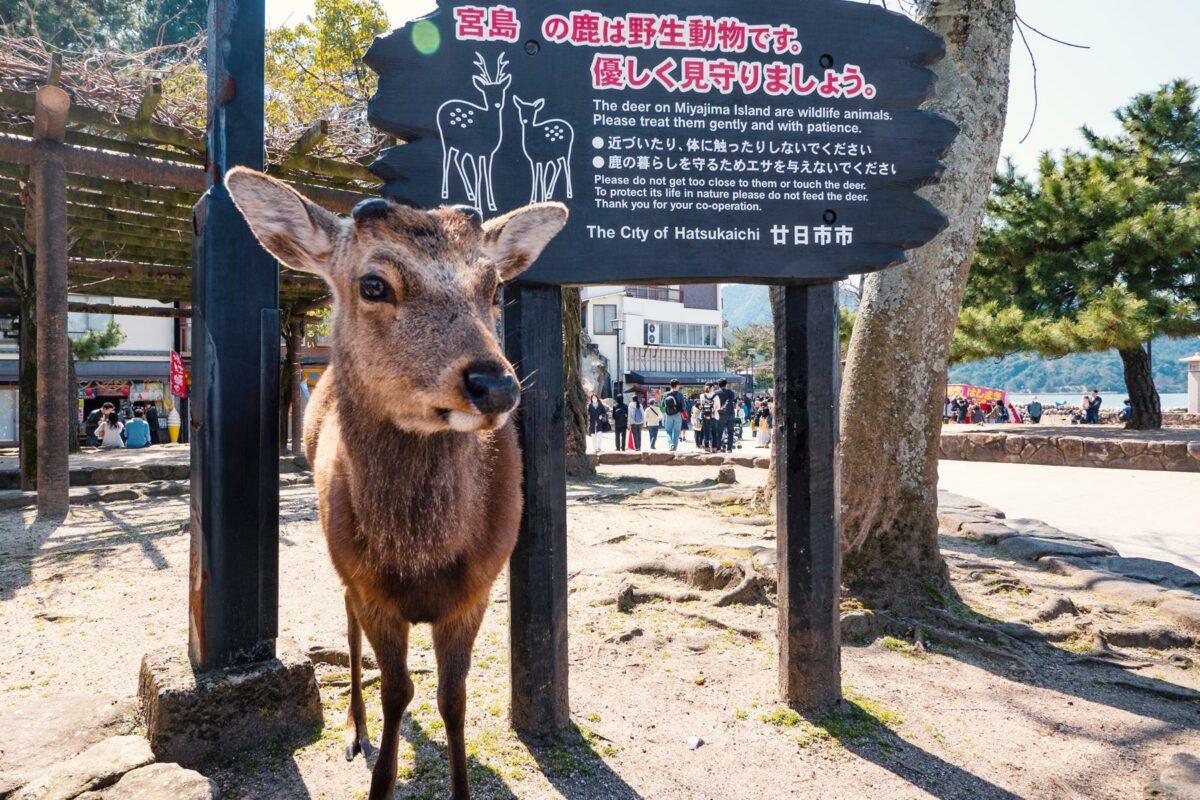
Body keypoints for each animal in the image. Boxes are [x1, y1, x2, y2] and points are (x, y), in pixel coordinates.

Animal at [224, 166, 567, 800]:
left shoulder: (478, 588)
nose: (495, 385)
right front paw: (379, 775)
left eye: (494, 287)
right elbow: (396, 692)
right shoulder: (370, 587)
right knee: (346, 622)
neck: (423, 559)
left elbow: (452, 698)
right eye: (374, 285)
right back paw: (354, 731)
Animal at [437, 53, 511, 213]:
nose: (497, 104)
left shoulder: (489, 153)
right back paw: (446, 193)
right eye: (487, 93)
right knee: (446, 159)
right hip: (445, 140)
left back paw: (470, 194)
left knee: (458, 159)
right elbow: (478, 175)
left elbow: (487, 174)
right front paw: (479, 206)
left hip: (461, 147)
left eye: (501, 91)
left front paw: (492, 205)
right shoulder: (476, 152)